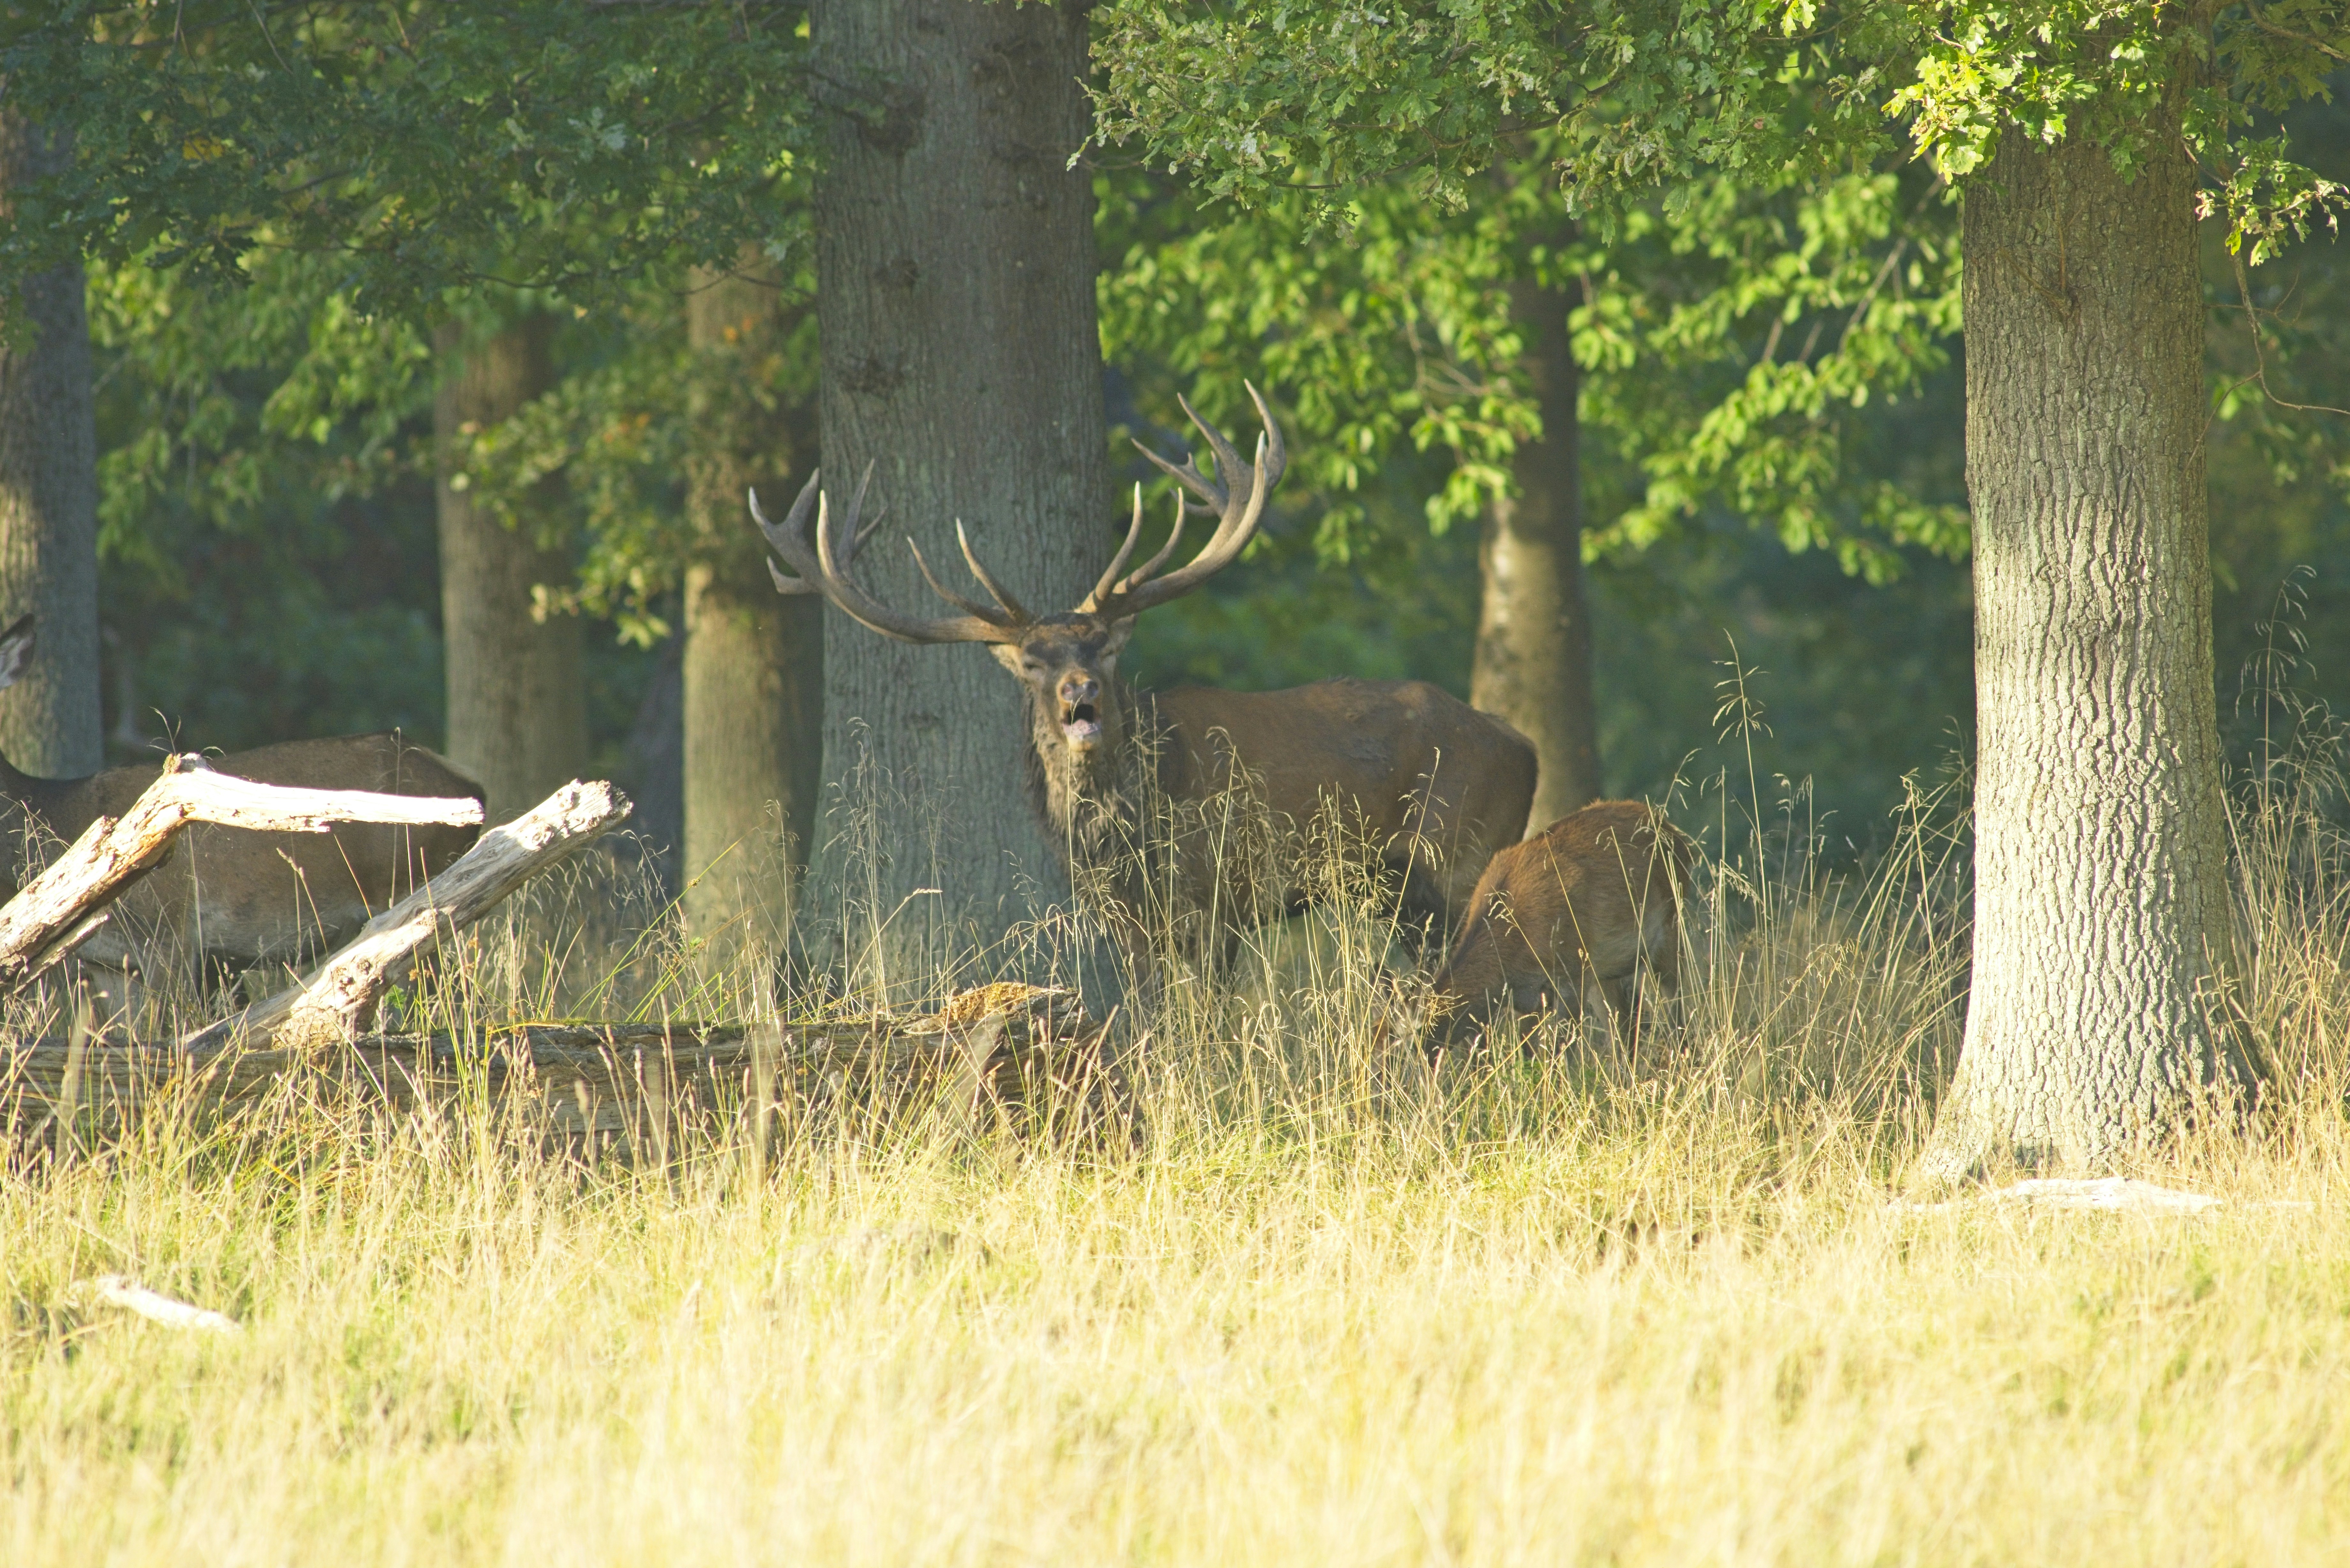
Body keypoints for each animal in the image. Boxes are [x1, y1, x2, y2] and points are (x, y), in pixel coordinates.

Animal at [750, 385, 1537, 981]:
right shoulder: (1127, 920)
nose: (1078, 691)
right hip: (1403, 888)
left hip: (1454, 853)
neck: (1125, 835)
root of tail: (1525, 748)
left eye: (1101, 646)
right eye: (1032, 660)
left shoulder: (1221, 893)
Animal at [1417, 799, 1694, 1059]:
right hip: (1604, 970)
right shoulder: (1529, 1000)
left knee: (1676, 1011)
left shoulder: (1571, 975)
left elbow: (1560, 1049)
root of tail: (1676, 835)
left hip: (1668, 934)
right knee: (1623, 1029)